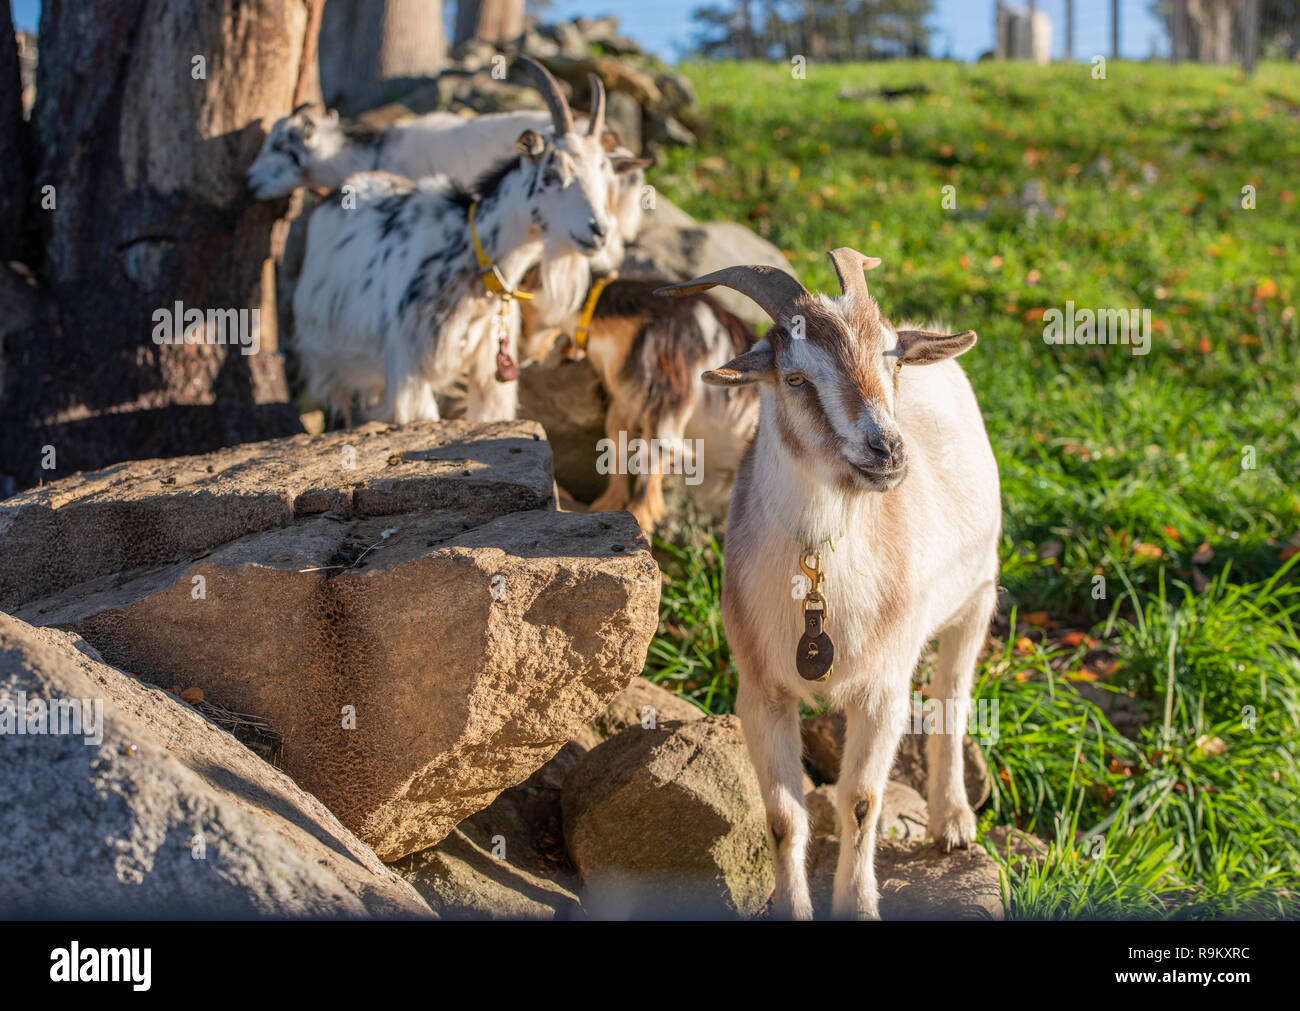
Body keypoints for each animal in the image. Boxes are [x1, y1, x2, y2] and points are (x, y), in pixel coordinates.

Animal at [292, 59, 633, 425]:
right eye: (552, 174)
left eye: (605, 178)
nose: (599, 232)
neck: (467, 256)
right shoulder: (410, 370)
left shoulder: (490, 375)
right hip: (326, 358)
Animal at [520, 278, 760, 532]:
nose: (523, 355)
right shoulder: (625, 398)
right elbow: (617, 443)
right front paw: (607, 505)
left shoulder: (669, 389)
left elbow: (654, 452)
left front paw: (640, 518)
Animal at [657, 250, 1001, 919]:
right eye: (794, 378)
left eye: (894, 362)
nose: (887, 450)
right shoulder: (761, 690)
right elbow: (784, 817)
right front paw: (793, 906)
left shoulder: (883, 688)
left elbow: (861, 801)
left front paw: (859, 904)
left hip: (978, 594)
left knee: (952, 693)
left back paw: (951, 822)